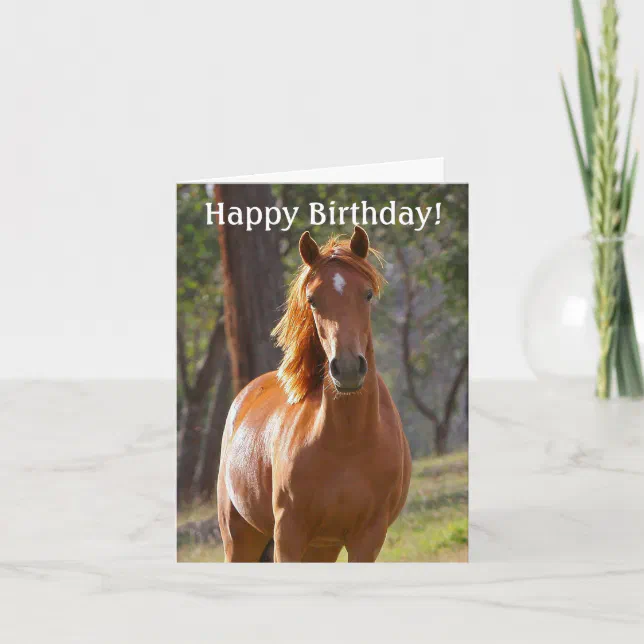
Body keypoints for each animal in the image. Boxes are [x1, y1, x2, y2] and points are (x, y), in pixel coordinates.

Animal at [217, 225, 412, 562]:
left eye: (367, 294)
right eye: (313, 299)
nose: (347, 368)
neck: (348, 442)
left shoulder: (367, 538)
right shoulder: (288, 535)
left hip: (322, 547)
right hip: (240, 539)